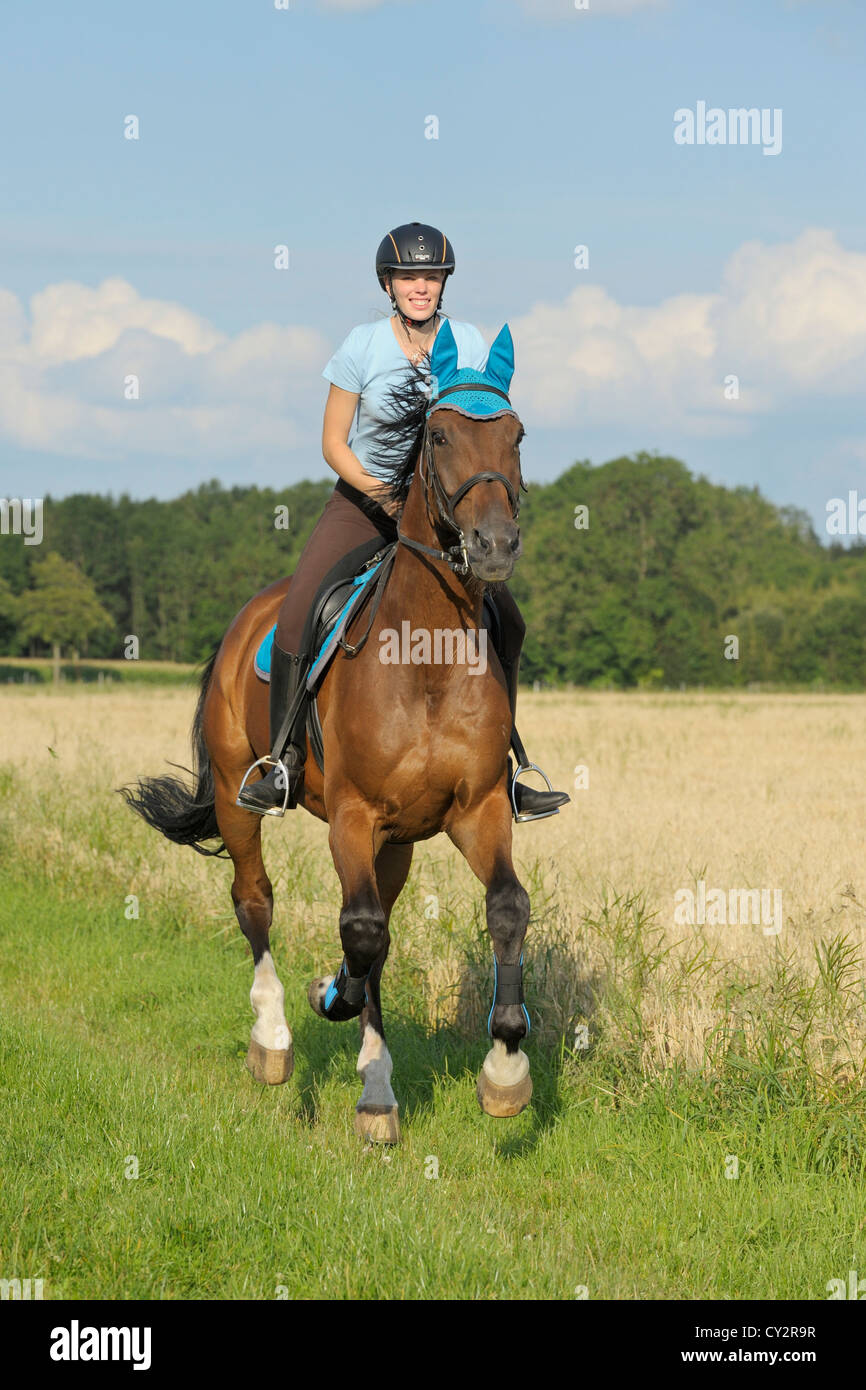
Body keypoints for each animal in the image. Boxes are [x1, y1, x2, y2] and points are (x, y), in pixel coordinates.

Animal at [123, 321, 536, 1143]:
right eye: (439, 434)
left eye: (516, 435)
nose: (494, 546)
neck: (426, 657)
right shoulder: (352, 814)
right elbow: (361, 932)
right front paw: (351, 1040)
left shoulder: (477, 809)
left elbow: (503, 907)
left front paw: (506, 1071)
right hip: (237, 793)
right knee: (255, 899)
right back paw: (275, 1041)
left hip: (399, 841)